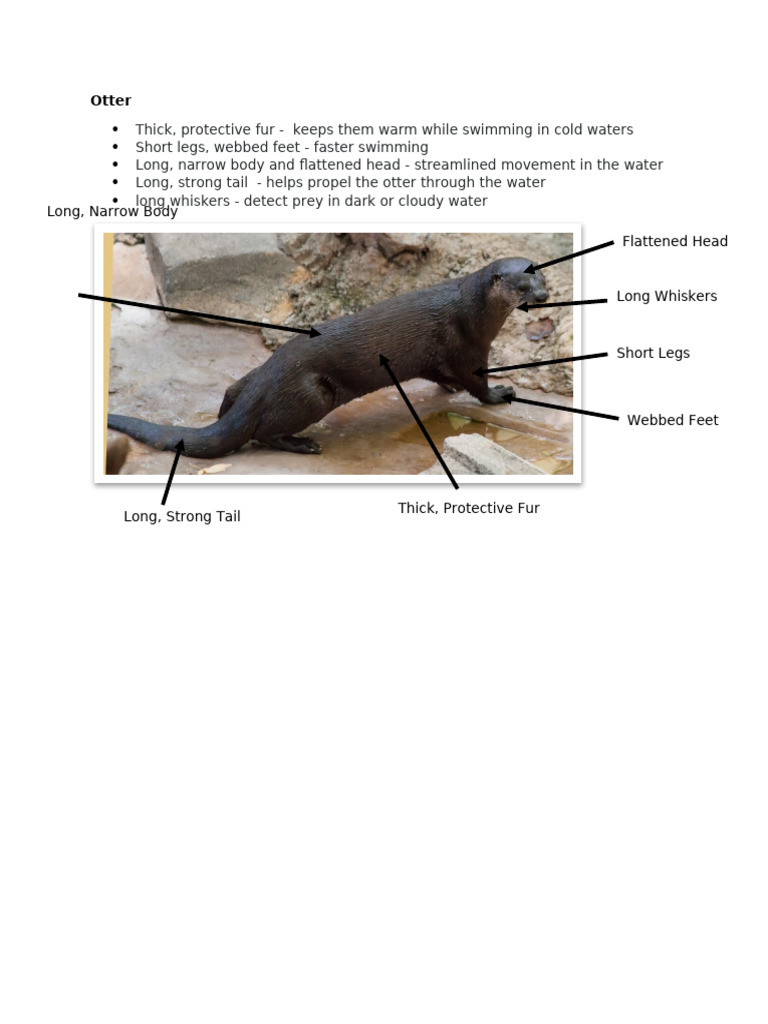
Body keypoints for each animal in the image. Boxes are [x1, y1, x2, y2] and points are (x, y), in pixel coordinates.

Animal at [107, 257, 548, 459]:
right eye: (522, 284)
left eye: (543, 276)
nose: (543, 295)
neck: (475, 312)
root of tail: (264, 385)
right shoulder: (468, 344)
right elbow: (477, 383)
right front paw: (502, 393)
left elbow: (442, 375)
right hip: (312, 395)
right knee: (261, 433)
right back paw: (304, 444)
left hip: (251, 382)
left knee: (233, 390)